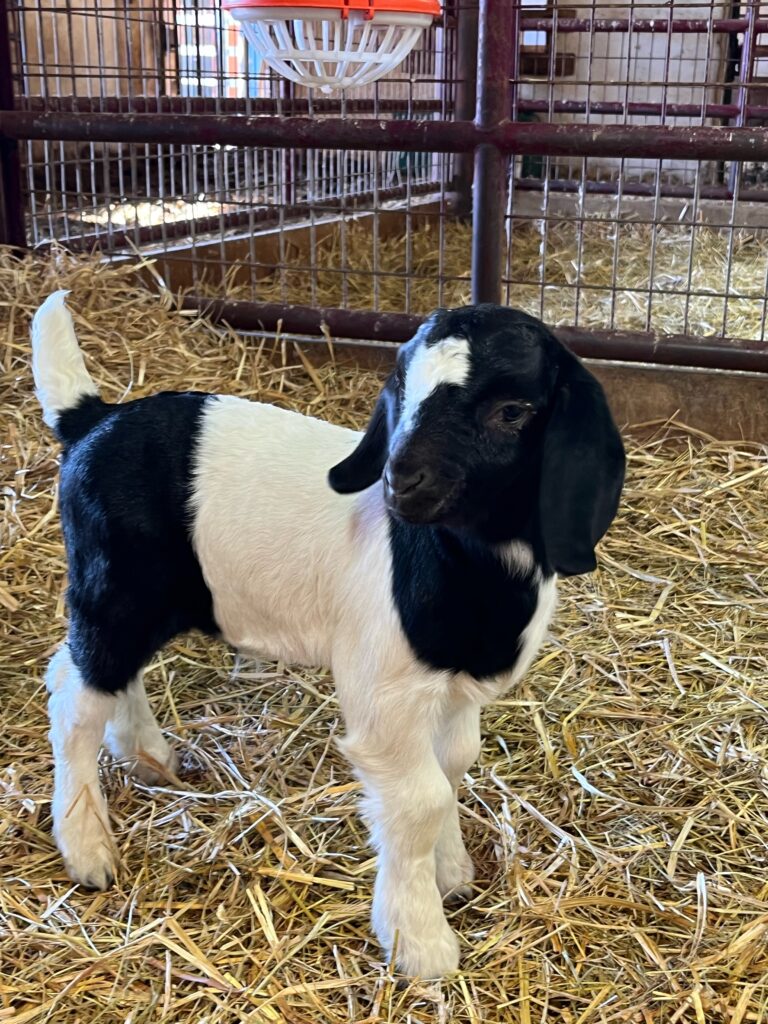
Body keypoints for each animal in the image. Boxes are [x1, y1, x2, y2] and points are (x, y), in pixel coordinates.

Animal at [31, 291, 625, 977]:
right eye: (401, 390)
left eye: (512, 412)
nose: (399, 481)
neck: (470, 566)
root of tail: (91, 420)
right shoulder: (385, 692)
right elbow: (420, 798)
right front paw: (422, 945)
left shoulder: (452, 691)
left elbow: (452, 767)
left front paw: (451, 873)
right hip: (112, 588)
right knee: (75, 694)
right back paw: (88, 850)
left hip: (139, 601)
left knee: (107, 675)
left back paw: (150, 760)